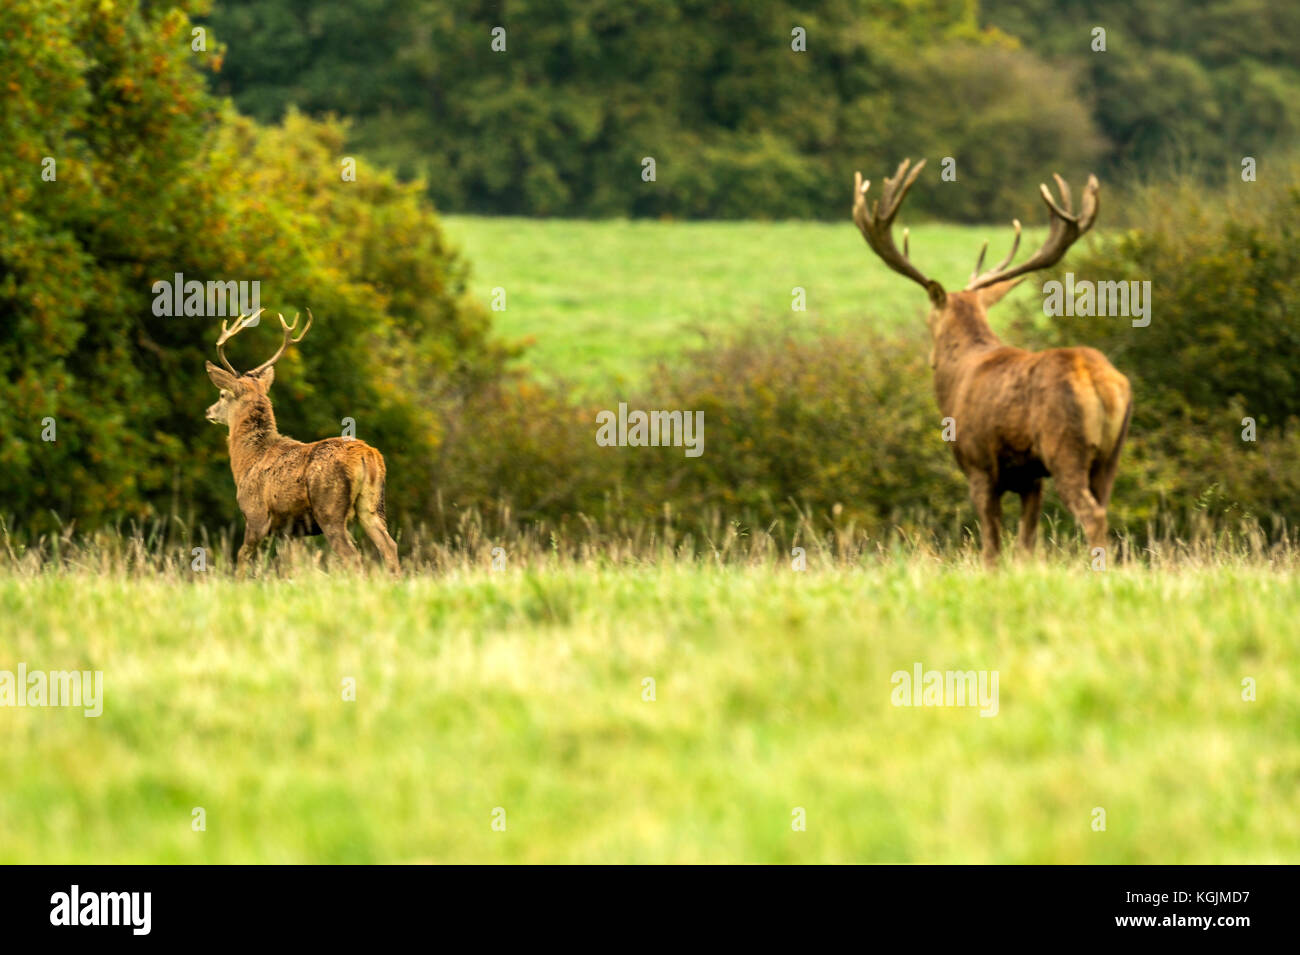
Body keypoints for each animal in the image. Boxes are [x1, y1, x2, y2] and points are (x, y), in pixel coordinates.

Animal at [204, 308, 401, 575]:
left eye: (222, 395)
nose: (209, 411)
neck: (248, 459)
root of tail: (367, 456)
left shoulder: (256, 515)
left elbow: (242, 557)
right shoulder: (290, 531)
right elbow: (291, 567)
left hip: (329, 507)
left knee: (352, 555)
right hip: (372, 506)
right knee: (389, 546)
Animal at [852, 159, 1132, 566]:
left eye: (928, 320)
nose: (930, 358)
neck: (959, 376)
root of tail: (1098, 380)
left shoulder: (978, 463)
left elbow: (991, 546)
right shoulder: (1031, 479)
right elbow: (1025, 544)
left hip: (1065, 446)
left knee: (1091, 513)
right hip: (1111, 454)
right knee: (1104, 505)